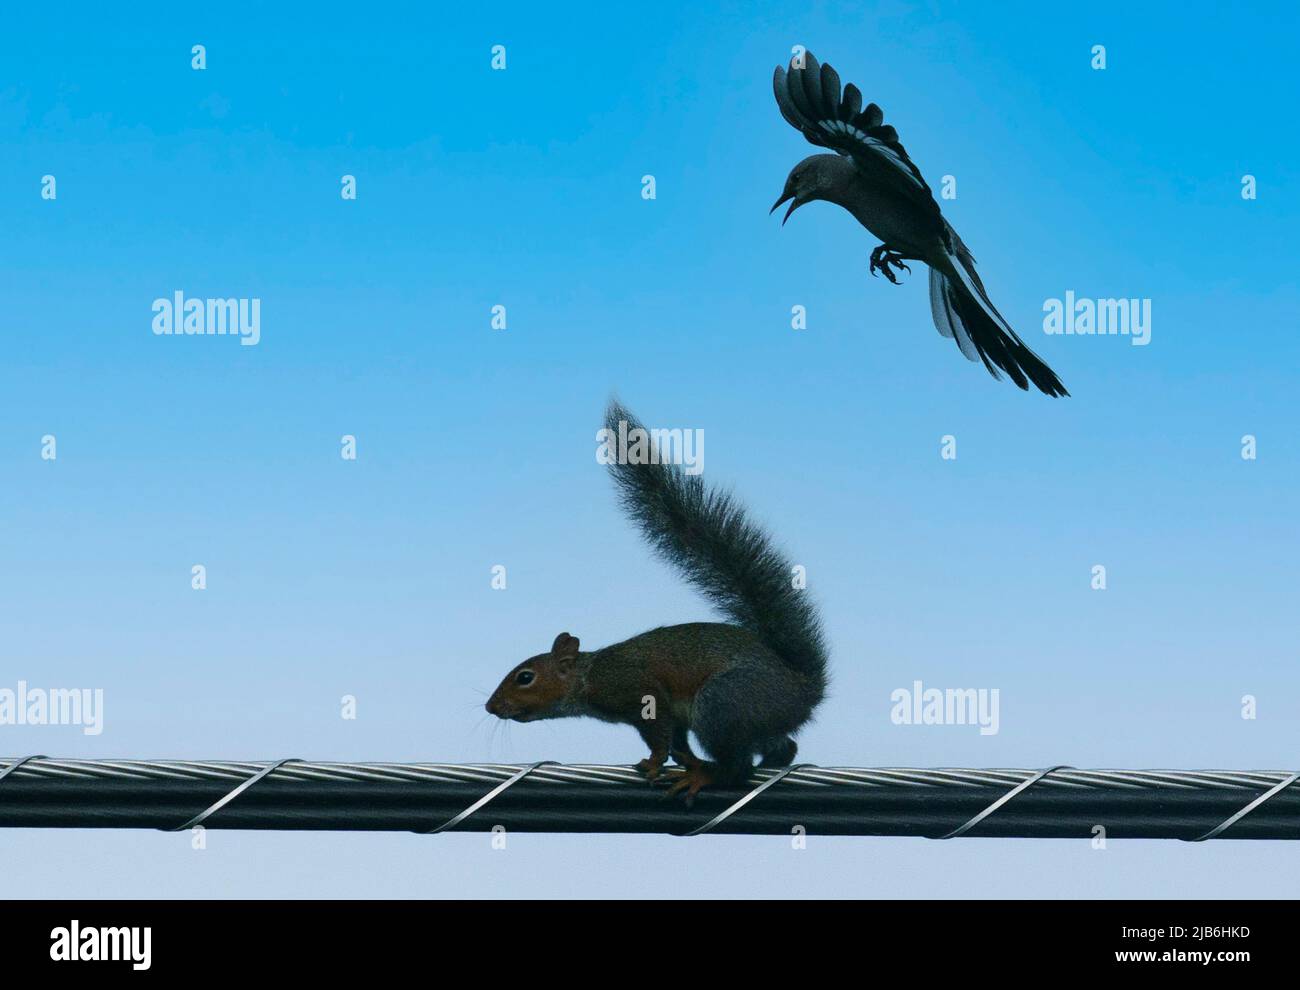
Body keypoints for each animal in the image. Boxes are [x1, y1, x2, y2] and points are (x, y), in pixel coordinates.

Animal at [486, 400, 828, 803]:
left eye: (525, 677)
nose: (491, 706)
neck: (588, 677)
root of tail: (803, 689)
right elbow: (675, 736)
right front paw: (676, 757)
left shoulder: (639, 691)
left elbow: (660, 733)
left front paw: (655, 761)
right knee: (783, 746)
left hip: (723, 701)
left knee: (738, 766)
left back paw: (705, 775)